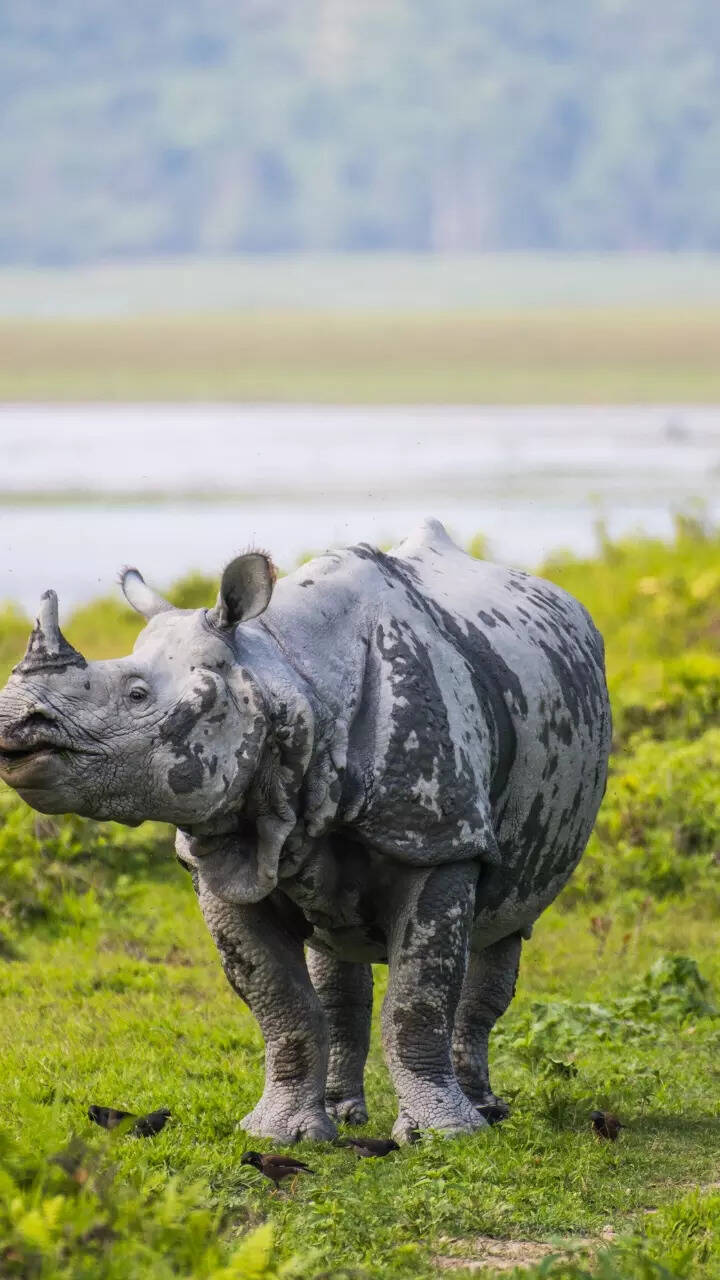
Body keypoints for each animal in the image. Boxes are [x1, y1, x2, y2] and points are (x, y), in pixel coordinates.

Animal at [0, 519, 611, 1143]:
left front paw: (442, 1135)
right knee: (337, 956)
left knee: (503, 928)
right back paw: (345, 1115)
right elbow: (282, 1004)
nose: (17, 722)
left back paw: (485, 1112)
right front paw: (277, 1134)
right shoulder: (221, 854)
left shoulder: (439, 839)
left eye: (137, 695)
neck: (286, 677)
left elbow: (417, 1001)